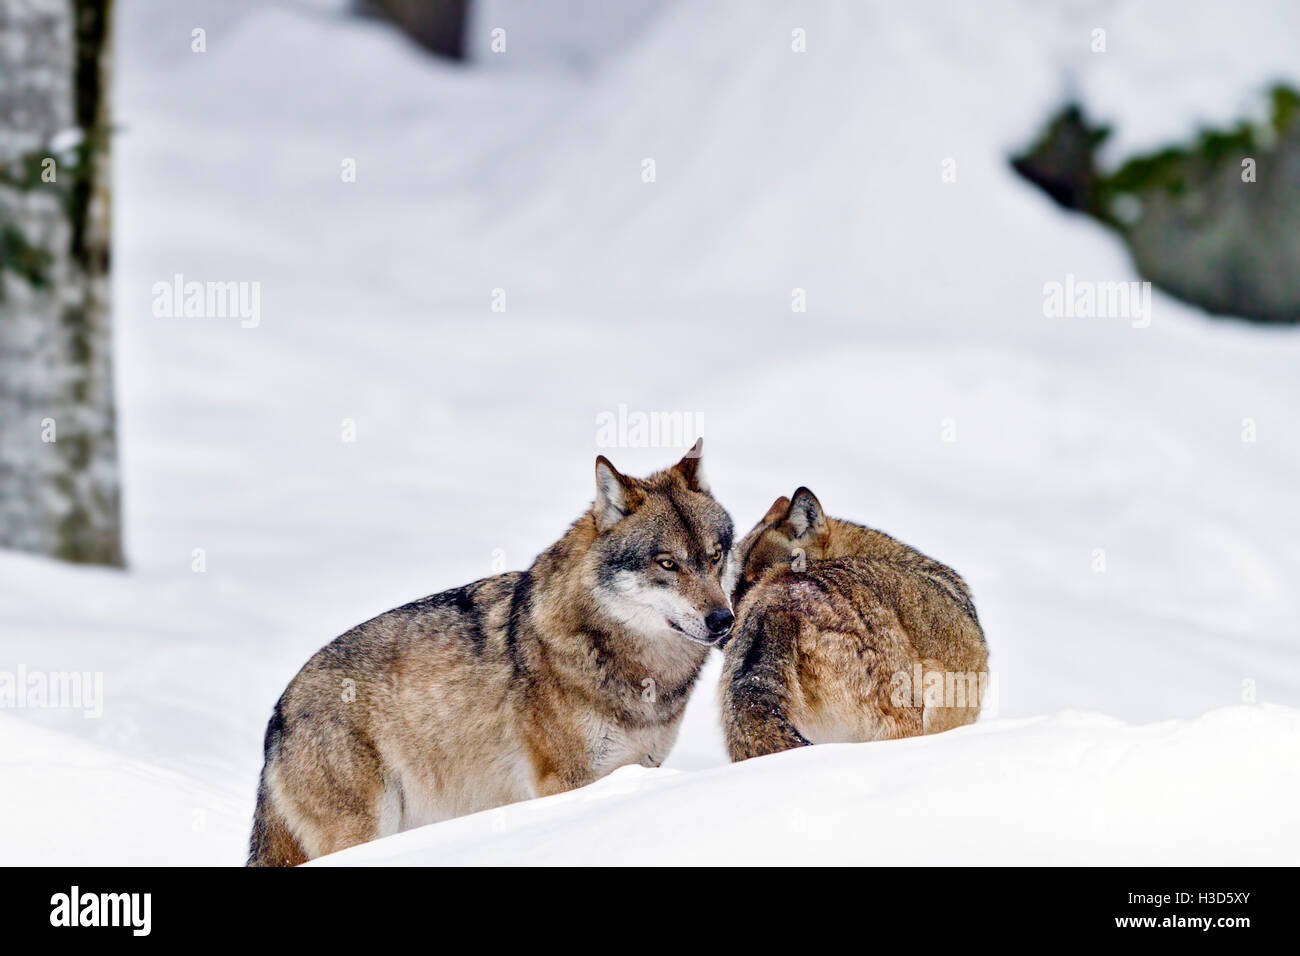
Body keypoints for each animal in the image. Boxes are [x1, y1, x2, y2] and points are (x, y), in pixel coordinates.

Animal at [248, 441, 735, 865]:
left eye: (715, 556)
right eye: (667, 563)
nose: (723, 620)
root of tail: (278, 712)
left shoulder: (640, 767)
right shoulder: (564, 781)